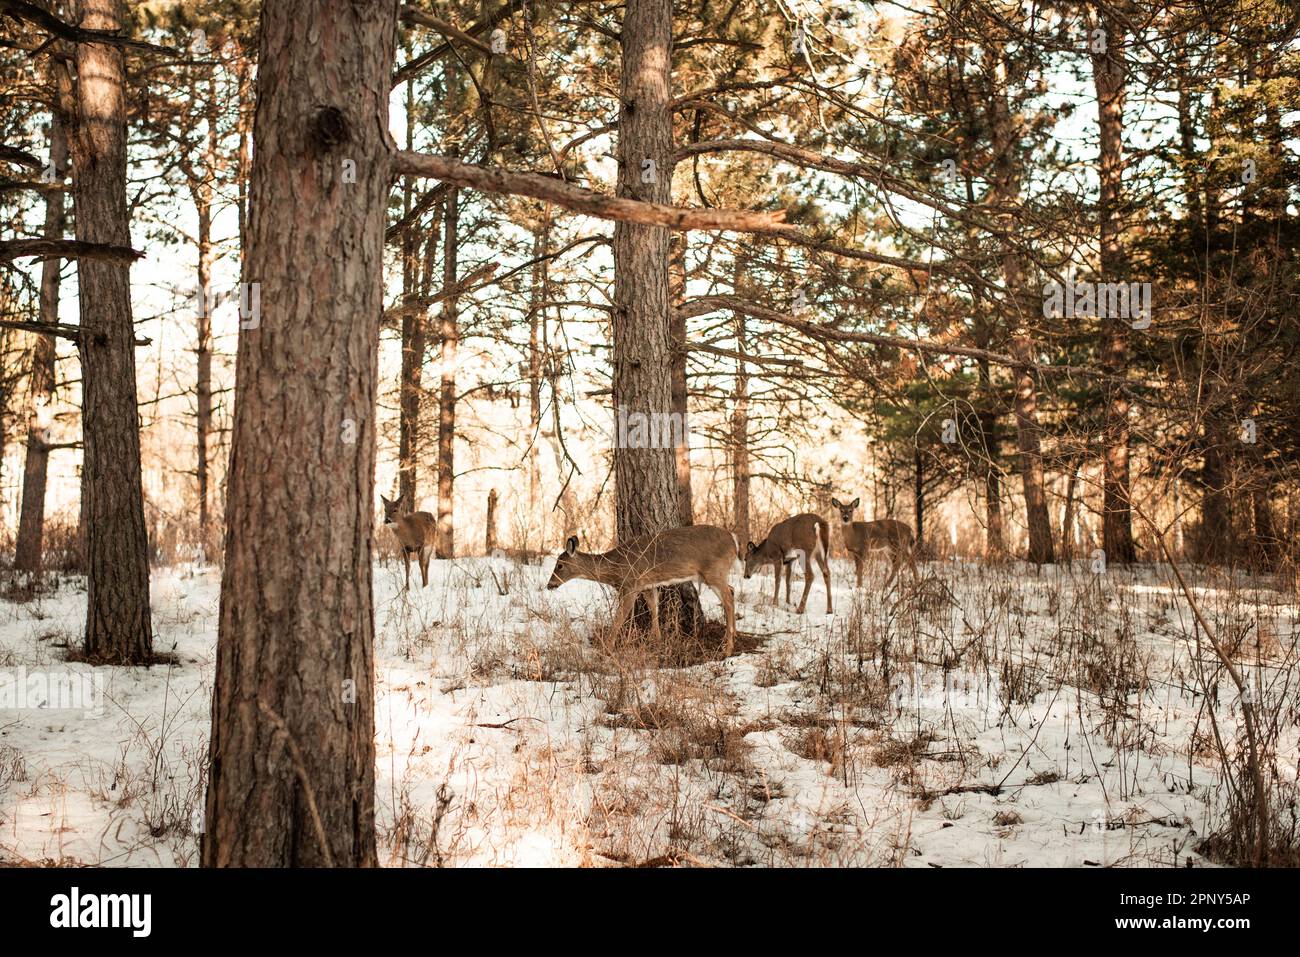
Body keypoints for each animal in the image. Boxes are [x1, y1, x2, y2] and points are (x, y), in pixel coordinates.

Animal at [545, 525, 739, 655]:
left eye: (560, 565)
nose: (549, 585)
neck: (615, 567)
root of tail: (734, 541)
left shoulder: (630, 585)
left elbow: (619, 617)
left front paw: (607, 648)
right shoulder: (646, 585)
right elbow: (654, 609)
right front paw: (658, 641)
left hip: (714, 571)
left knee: (728, 599)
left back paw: (727, 649)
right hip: (716, 573)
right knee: (732, 590)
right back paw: (733, 636)